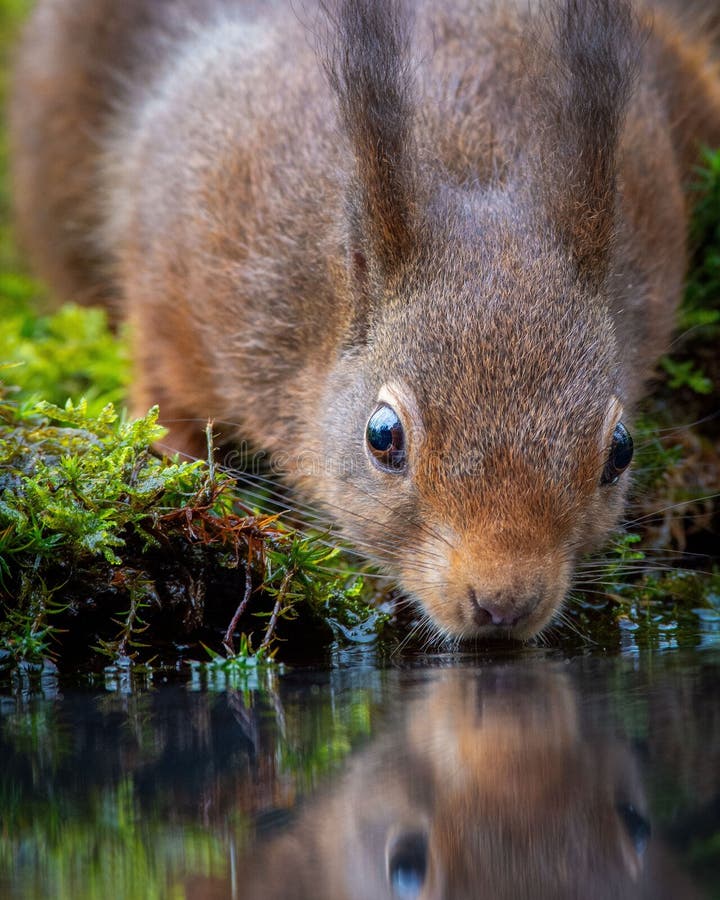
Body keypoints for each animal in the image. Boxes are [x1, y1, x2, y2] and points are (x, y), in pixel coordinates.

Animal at [9, 0, 720, 641]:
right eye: (383, 436)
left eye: (620, 451)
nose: (503, 604)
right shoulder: (180, 248)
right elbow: (161, 382)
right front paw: (178, 466)